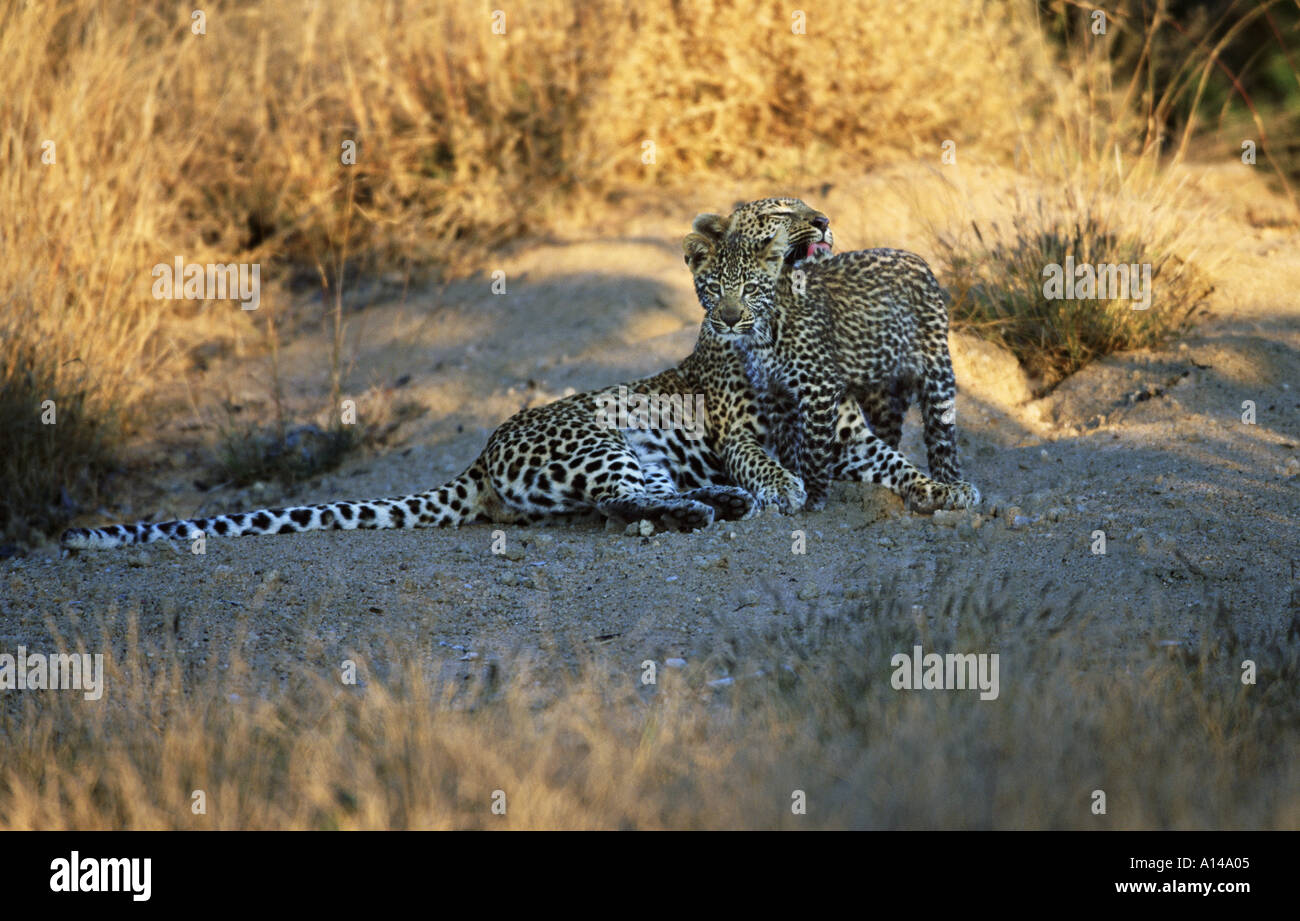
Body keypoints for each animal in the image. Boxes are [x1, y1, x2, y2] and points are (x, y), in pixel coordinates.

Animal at [683, 197, 980, 513]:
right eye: (778, 212)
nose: (823, 221)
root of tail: (915, 258)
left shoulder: (818, 387)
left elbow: (813, 448)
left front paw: (813, 496)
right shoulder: (773, 394)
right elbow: (788, 448)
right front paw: (796, 483)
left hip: (936, 367)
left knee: (941, 432)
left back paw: (951, 483)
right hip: (881, 388)